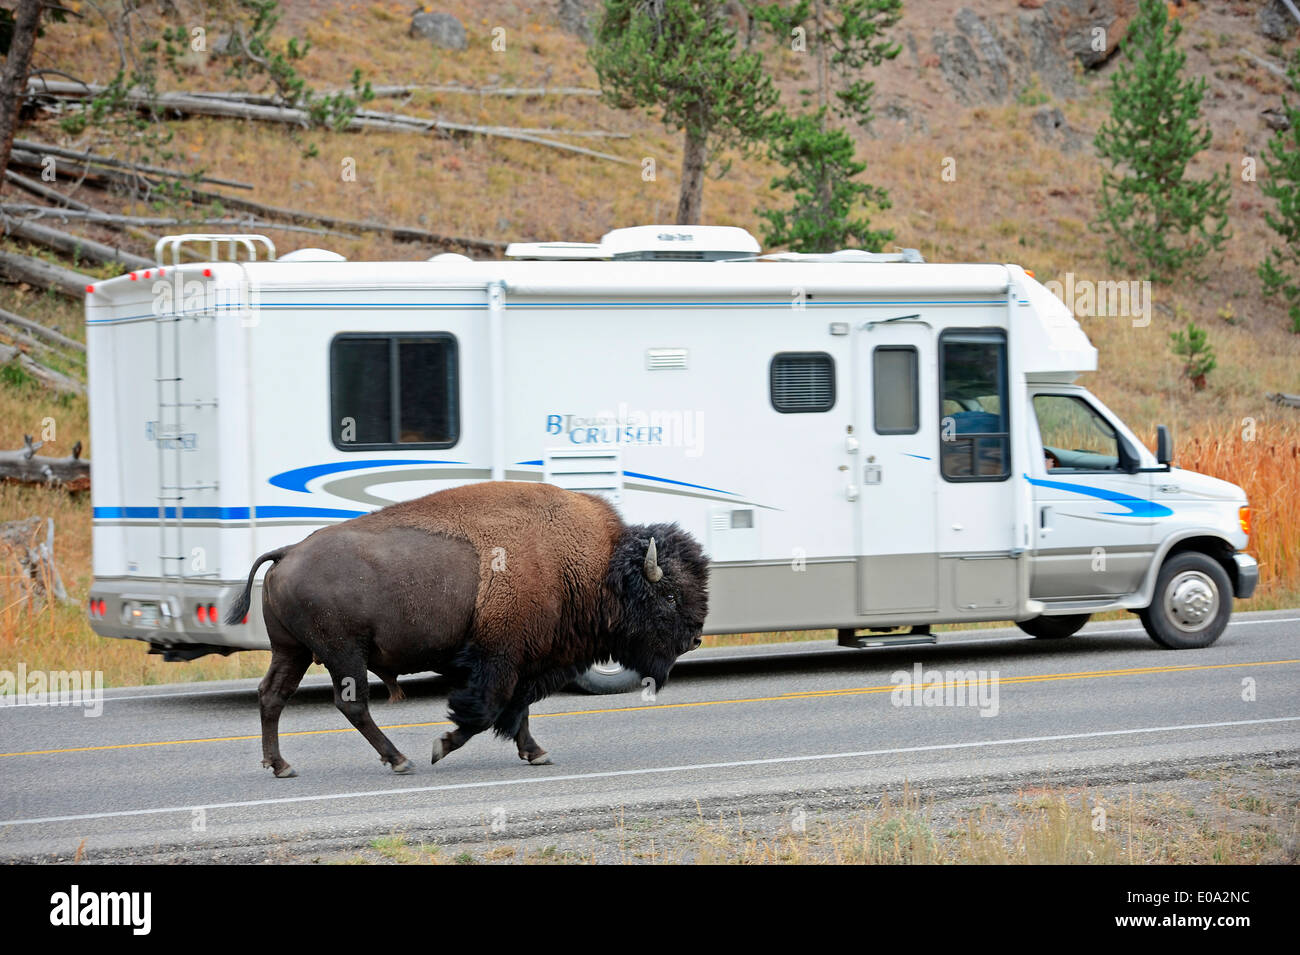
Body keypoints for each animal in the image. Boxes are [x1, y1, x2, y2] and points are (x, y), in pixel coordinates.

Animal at [226, 481, 709, 777]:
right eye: (669, 596)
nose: (695, 638)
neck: (596, 568)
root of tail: (288, 552)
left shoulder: (527, 660)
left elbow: (518, 709)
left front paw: (536, 753)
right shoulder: (499, 658)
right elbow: (485, 710)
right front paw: (441, 746)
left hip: (292, 651)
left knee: (272, 696)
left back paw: (282, 766)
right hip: (344, 654)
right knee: (352, 704)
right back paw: (399, 760)